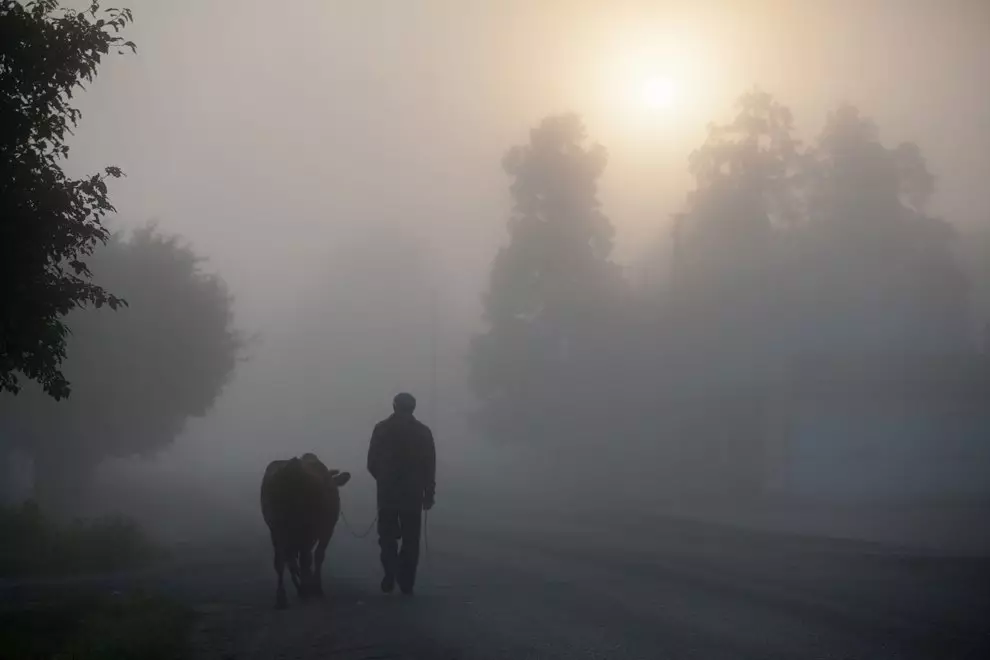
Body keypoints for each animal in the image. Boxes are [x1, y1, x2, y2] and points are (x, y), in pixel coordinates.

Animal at [262, 454, 350, 608]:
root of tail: (292, 467)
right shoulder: (327, 529)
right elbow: (318, 556)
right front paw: (315, 587)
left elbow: (295, 560)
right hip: (303, 530)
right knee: (302, 558)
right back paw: (304, 590)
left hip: (277, 529)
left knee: (281, 560)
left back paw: (283, 596)